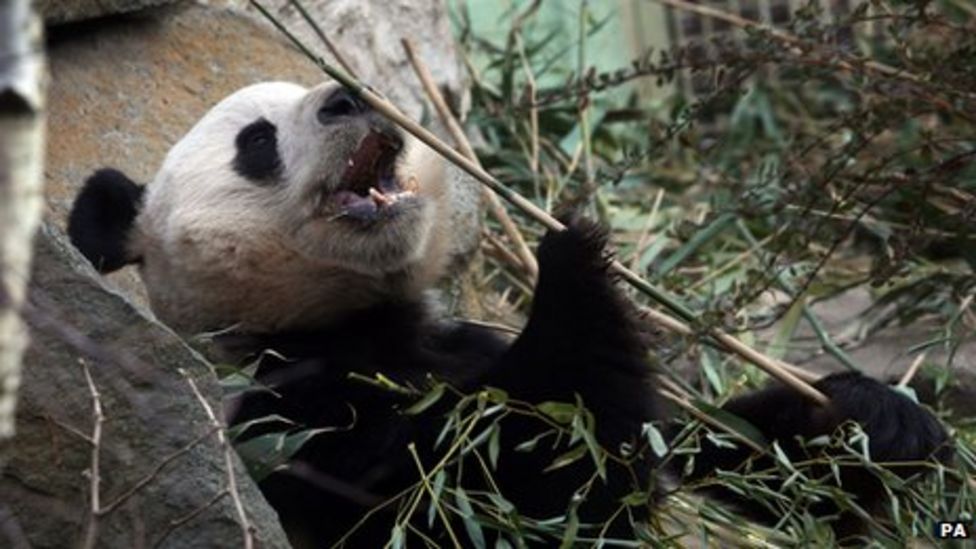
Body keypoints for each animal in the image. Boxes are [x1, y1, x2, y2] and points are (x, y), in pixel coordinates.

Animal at [67, 81, 951, 547]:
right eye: (255, 140)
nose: (347, 98)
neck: (349, 319)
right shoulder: (287, 421)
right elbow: (509, 483)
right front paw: (569, 256)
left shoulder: (451, 339)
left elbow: (716, 456)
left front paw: (873, 416)